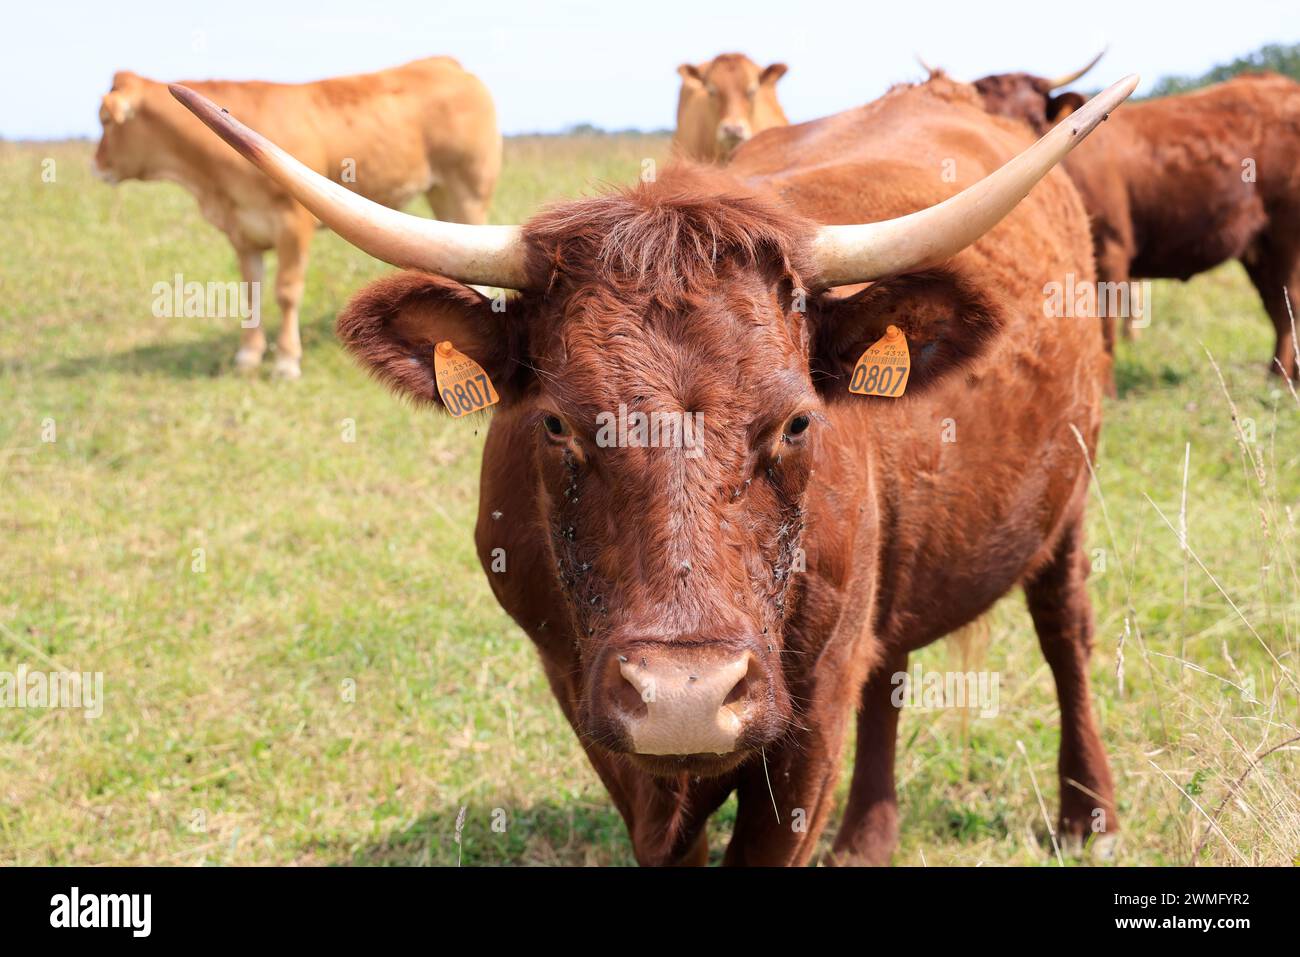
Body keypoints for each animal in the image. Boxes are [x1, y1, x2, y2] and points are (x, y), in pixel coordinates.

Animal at [94, 58, 502, 379]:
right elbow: (251, 289)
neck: (209, 182)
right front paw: (248, 355)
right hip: (442, 195)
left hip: (468, 190)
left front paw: (286, 361)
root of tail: (446, 64)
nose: (96, 165)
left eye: (105, 120)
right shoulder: (243, 233)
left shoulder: (293, 224)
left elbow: (286, 292)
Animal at [171, 71, 1137, 865]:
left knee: (1066, 634)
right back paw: (868, 839)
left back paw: (1087, 814)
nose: (685, 696)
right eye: (556, 421)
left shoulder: (808, 718)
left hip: (1070, 498)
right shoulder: (588, 696)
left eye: (797, 420)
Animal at [954, 56, 1300, 377]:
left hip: (1286, 238)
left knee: (1289, 305)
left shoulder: (1111, 249)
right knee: (1277, 304)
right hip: (1260, 249)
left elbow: (1106, 323)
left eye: (1035, 118)